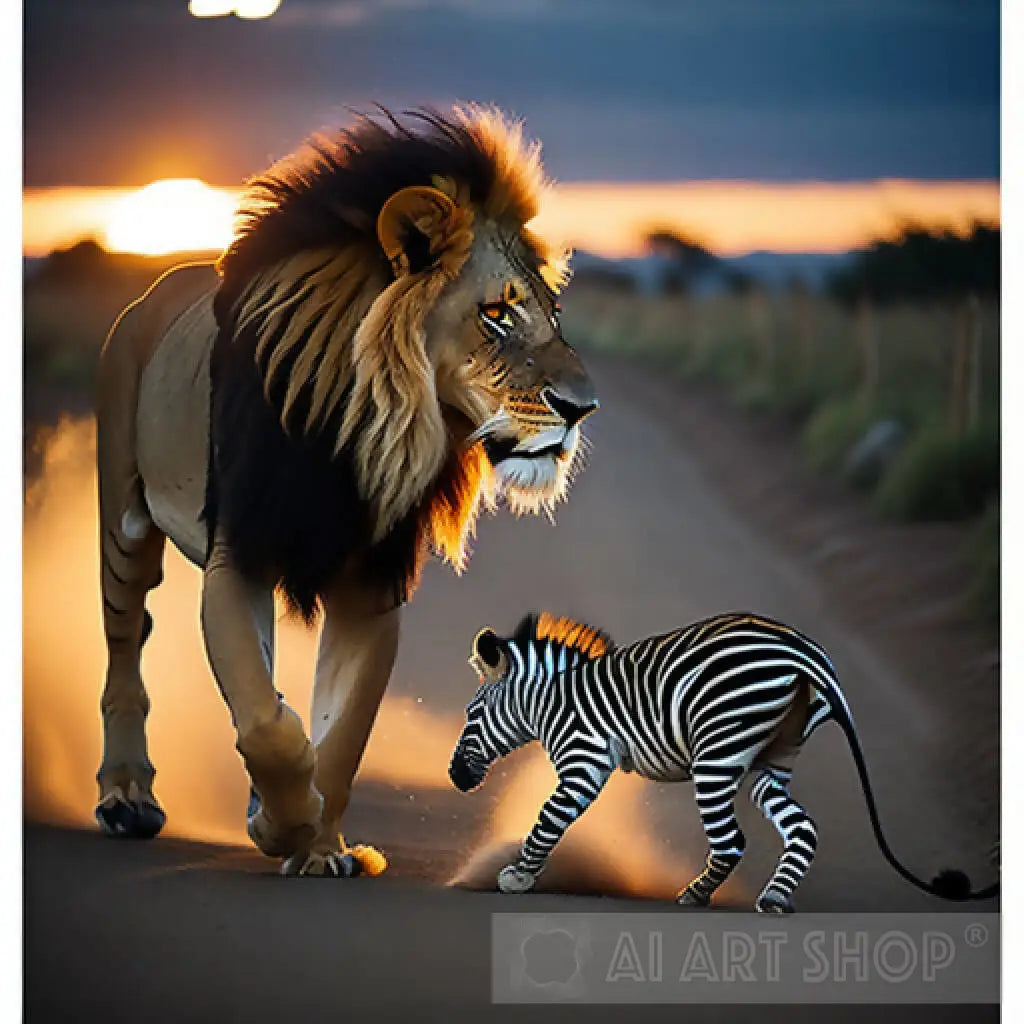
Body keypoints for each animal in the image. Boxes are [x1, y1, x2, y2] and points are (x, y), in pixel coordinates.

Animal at [93, 106, 598, 876]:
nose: (582, 408)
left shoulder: (371, 585)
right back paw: (126, 795)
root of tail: (153, 290)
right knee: (124, 654)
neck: (371, 426)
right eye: (497, 313)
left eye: (554, 312)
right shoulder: (237, 555)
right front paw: (283, 824)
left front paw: (319, 844)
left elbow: (342, 733)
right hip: (124, 527)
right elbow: (266, 723)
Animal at [448, 611, 998, 912]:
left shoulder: (583, 760)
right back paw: (774, 898)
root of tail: (802, 652)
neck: (551, 701)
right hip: (774, 760)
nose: (454, 777)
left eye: (472, 714)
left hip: (717, 753)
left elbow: (549, 820)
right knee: (801, 828)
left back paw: (695, 895)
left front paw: (517, 878)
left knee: (732, 842)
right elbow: (552, 820)